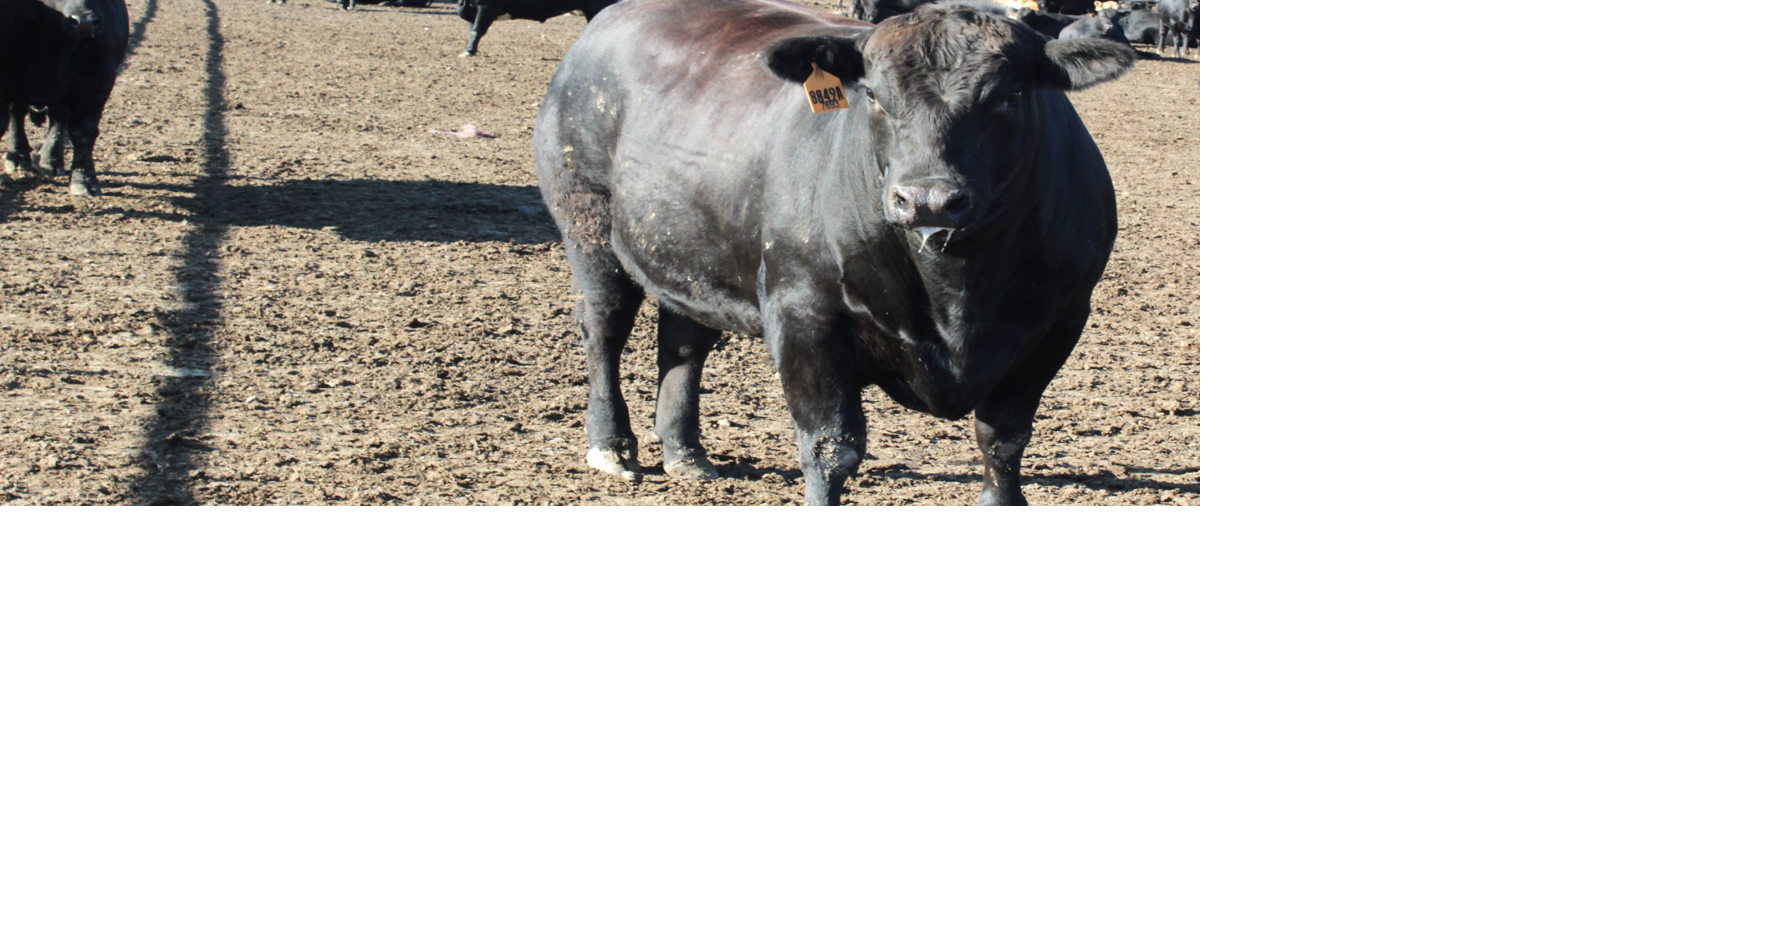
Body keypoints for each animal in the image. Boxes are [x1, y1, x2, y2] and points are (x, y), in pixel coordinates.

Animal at [1, 0, 127, 198]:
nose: (85, 21)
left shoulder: (99, 80)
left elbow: (83, 131)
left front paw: (83, 180)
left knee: (58, 118)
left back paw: (51, 160)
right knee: (18, 114)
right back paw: (18, 157)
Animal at [535, 0, 1133, 505]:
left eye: (1010, 96)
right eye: (873, 95)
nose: (928, 199)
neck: (958, 294)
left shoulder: (1056, 324)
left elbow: (1003, 441)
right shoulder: (803, 315)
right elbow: (831, 448)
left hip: (692, 252)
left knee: (684, 342)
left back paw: (686, 453)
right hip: (587, 225)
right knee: (604, 330)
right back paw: (612, 446)